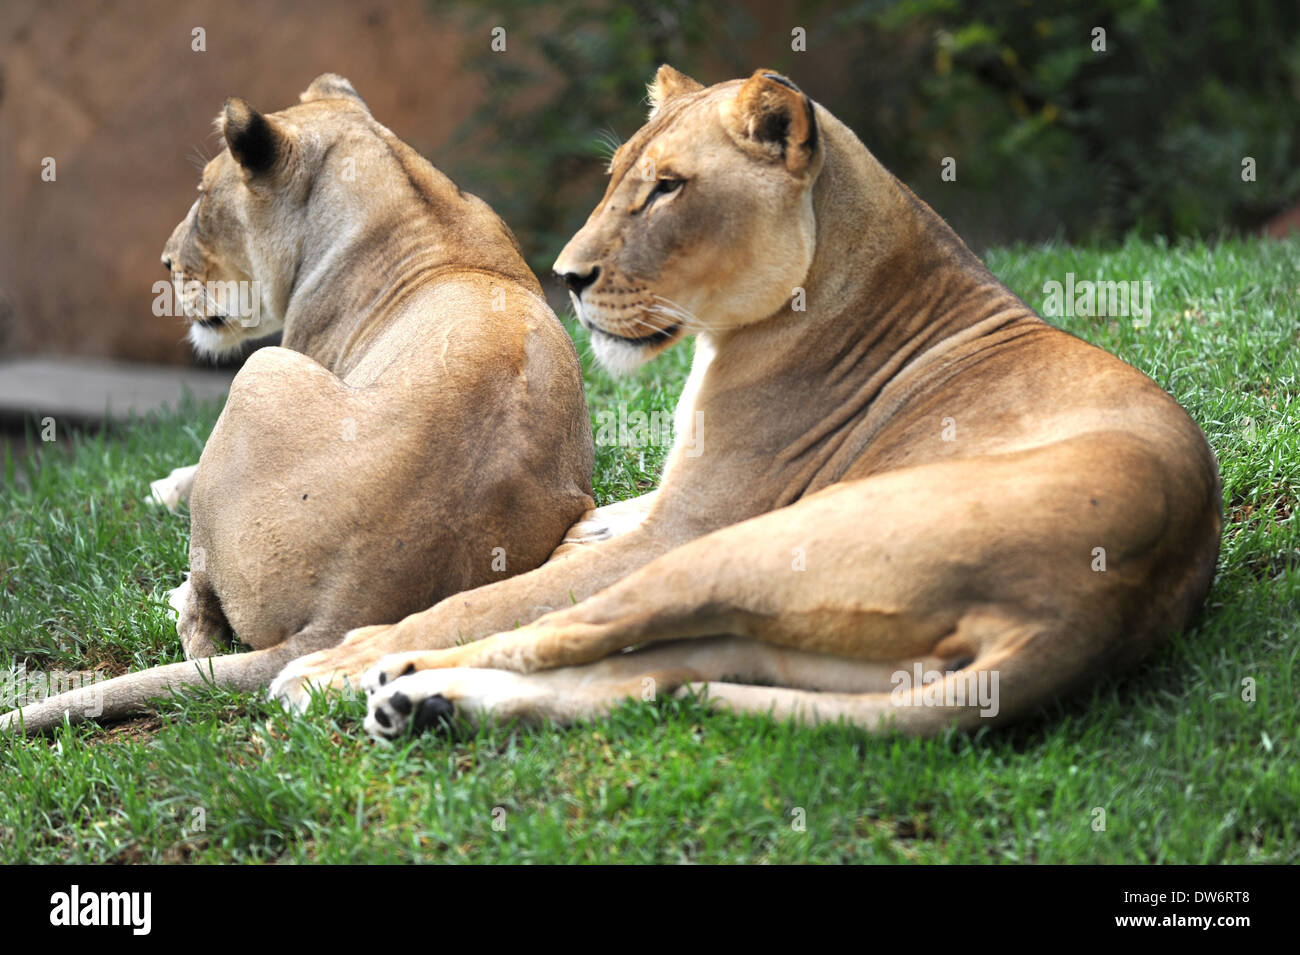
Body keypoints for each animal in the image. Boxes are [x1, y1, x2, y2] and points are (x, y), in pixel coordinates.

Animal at [2, 74, 594, 735]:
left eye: (203, 195)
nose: (164, 262)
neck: (411, 195)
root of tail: (341, 615)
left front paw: (166, 488)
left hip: (261, 372)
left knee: (200, 616)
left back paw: (179, 592)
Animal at [265, 66, 1218, 739]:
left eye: (668, 187)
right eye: (617, 176)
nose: (568, 277)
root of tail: (1096, 613)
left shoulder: (691, 522)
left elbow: (501, 595)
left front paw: (345, 661)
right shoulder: (677, 509)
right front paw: (590, 519)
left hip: (741, 549)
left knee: (555, 629)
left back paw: (361, 675)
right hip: (794, 642)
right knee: (645, 680)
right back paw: (427, 705)